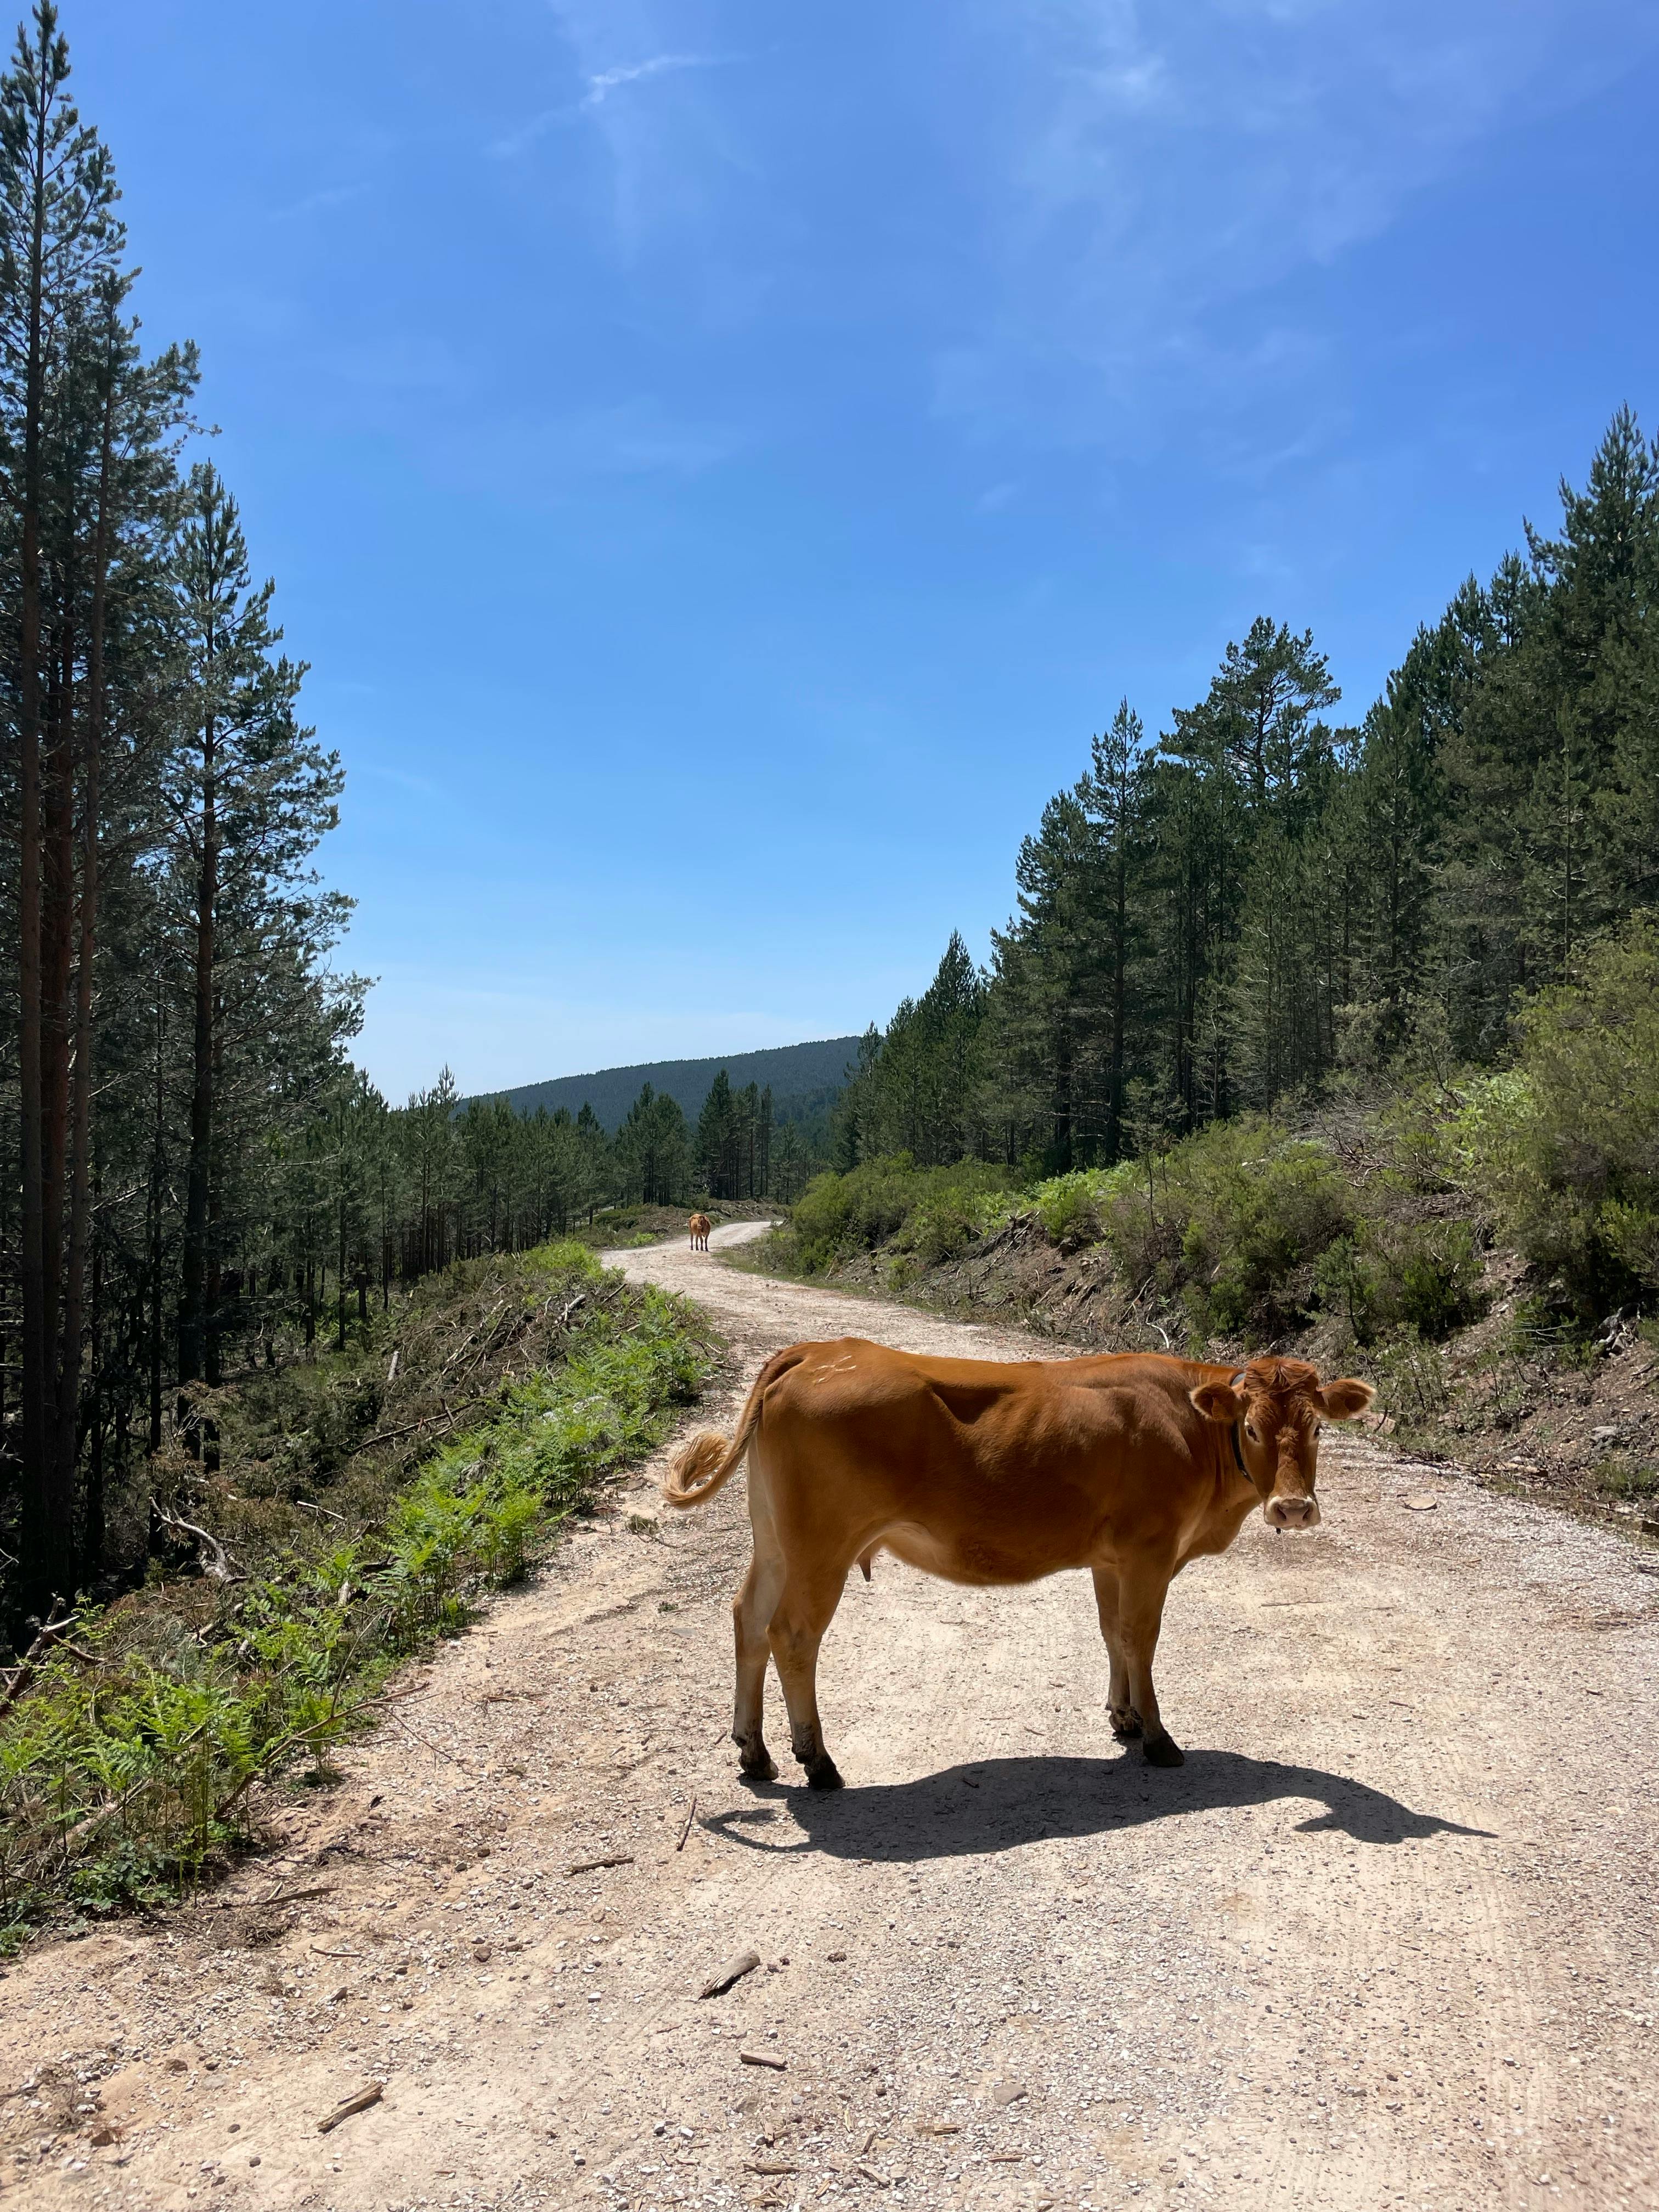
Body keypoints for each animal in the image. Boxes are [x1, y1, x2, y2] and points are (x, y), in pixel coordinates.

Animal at [663, 1340, 1373, 1788]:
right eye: (1251, 1429)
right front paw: (1157, 1738)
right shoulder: (1150, 1550)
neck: (1189, 1427)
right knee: (791, 1636)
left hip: (776, 1542)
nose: (1292, 1508)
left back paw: (754, 1753)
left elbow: (1113, 1634)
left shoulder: (1111, 1558)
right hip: (821, 1550)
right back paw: (817, 1762)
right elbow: (1142, 1638)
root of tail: (813, 1350)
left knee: (747, 1620)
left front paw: (1123, 1718)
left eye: (1318, 1429)